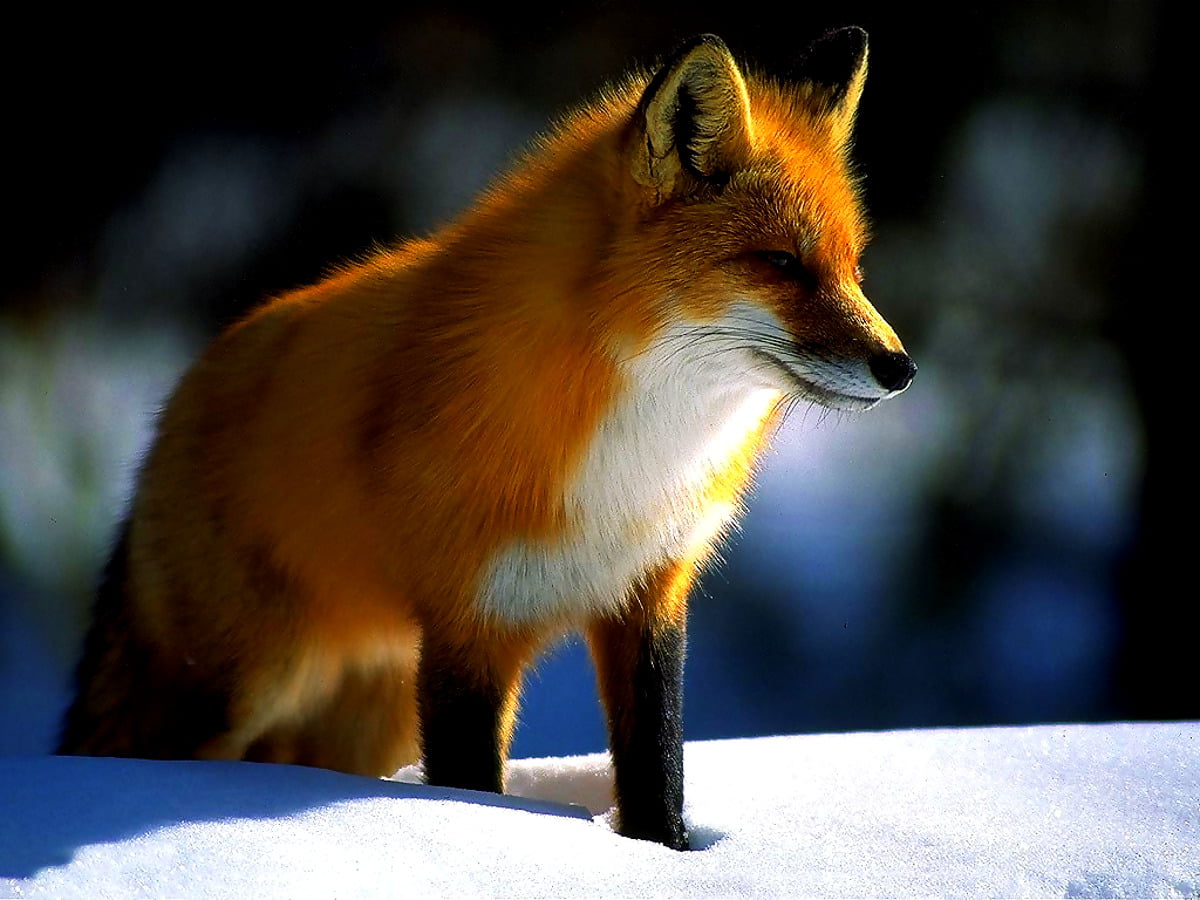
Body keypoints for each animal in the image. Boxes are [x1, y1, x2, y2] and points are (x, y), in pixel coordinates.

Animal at [58, 28, 914, 849]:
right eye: (780, 263)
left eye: (853, 268)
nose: (900, 367)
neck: (637, 450)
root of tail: (175, 401)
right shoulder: (471, 626)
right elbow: (473, 792)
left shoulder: (649, 596)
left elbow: (657, 777)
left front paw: (668, 858)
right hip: (236, 687)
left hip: (369, 714)